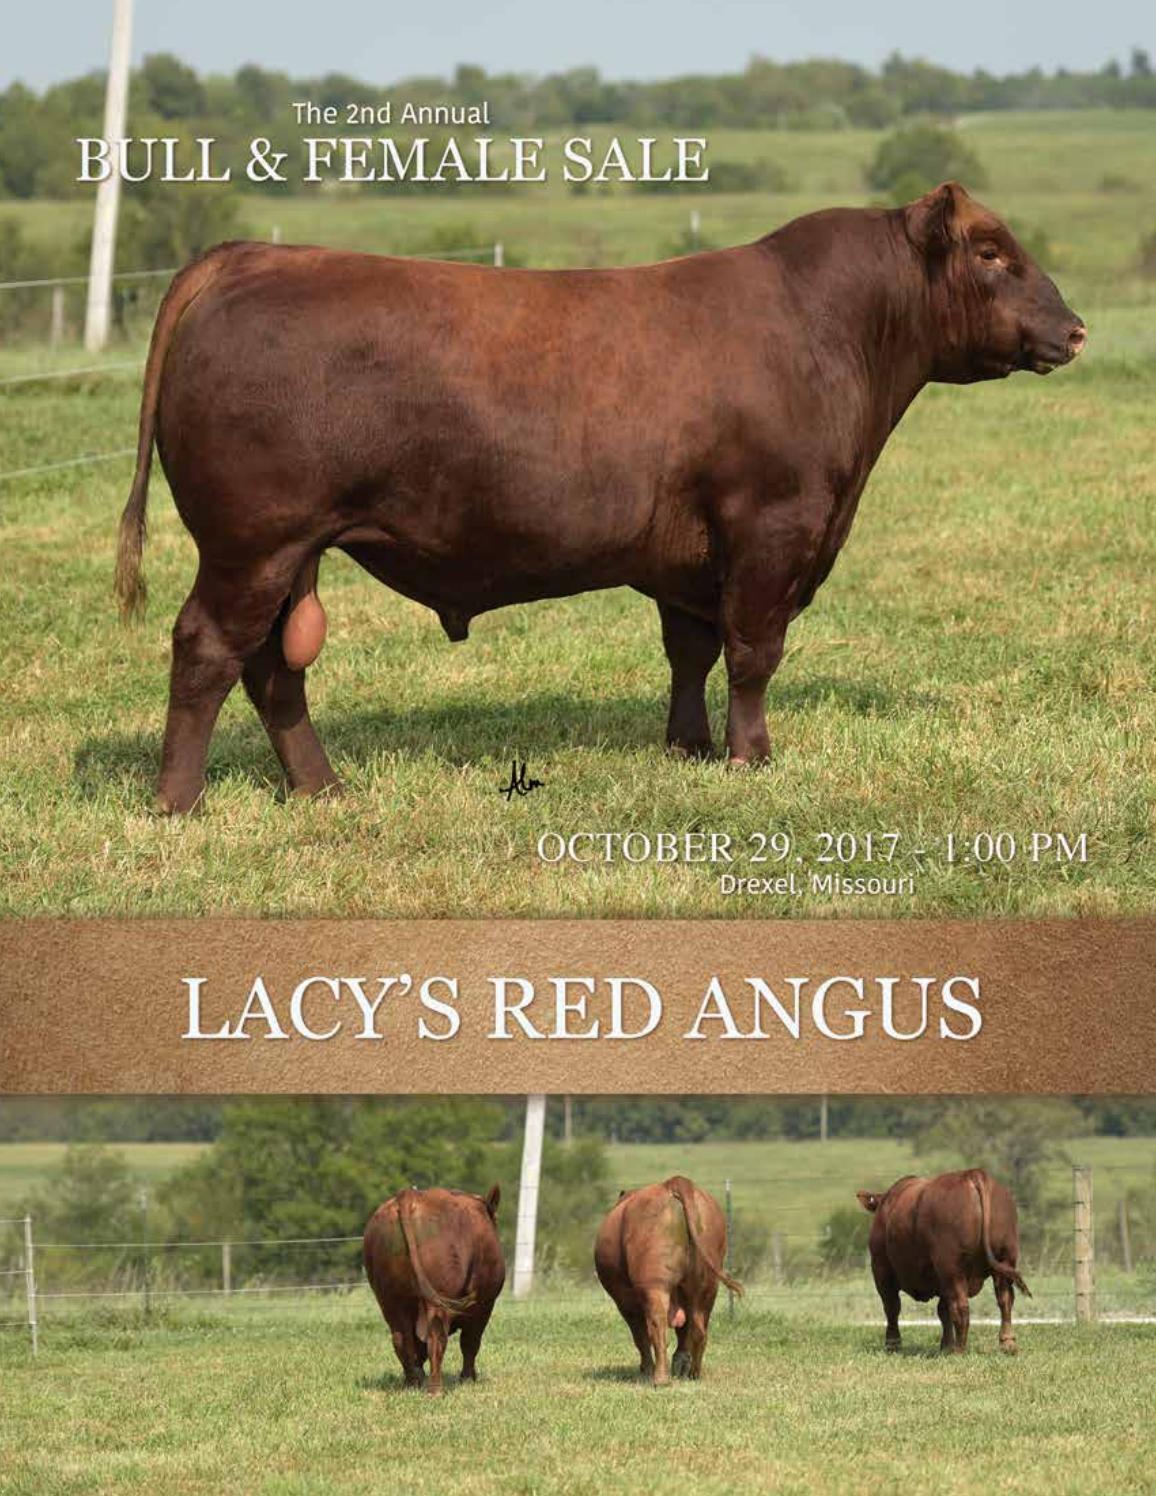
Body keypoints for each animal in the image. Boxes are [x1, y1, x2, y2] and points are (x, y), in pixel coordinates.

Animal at [114, 182, 1086, 812]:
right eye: (991, 252)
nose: (1075, 329)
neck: (830, 333)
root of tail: (249, 256)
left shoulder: (692, 554)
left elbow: (692, 650)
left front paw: (691, 747)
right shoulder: (773, 524)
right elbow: (753, 653)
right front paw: (752, 759)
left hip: (288, 551)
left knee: (274, 668)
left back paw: (324, 790)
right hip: (252, 541)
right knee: (208, 650)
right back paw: (178, 804)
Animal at [362, 1184, 504, 1395]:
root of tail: (410, 1196)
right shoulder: (484, 1305)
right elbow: (470, 1343)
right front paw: (468, 1378)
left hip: (390, 1299)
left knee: (401, 1338)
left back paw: (412, 1383)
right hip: (438, 1301)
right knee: (436, 1338)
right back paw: (435, 1388)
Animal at [594, 1175, 742, 1384]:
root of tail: (673, 1182)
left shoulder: (625, 1302)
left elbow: (640, 1335)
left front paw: (646, 1370)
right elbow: (683, 1331)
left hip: (655, 1284)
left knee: (657, 1325)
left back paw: (660, 1377)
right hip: (707, 1285)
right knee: (699, 1327)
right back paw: (693, 1373)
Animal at [857, 1168, 1030, 1355]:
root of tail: (973, 1174)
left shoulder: (881, 1269)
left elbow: (892, 1307)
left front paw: (893, 1344)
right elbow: (943, 1311)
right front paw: (946, 1345)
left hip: (951, 1267)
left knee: (961, 1307)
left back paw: (959, 1350)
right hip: (1005, 1260)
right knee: (1005, 1299)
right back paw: (1007, 1343)